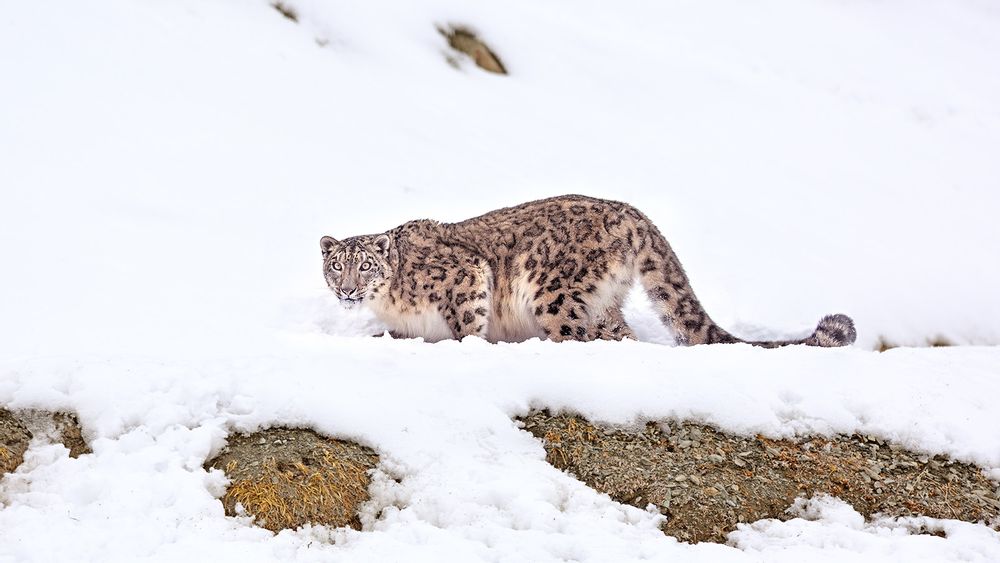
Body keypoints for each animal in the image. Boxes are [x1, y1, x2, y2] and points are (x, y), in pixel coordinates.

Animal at [320, 194, 856, 347]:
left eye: (365, 265)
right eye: (335, 267)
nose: (346, 291)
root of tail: (633, 214)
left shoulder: (465, 278)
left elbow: (467, 325)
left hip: (553, 293)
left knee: (574, 334)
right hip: (602, 303)